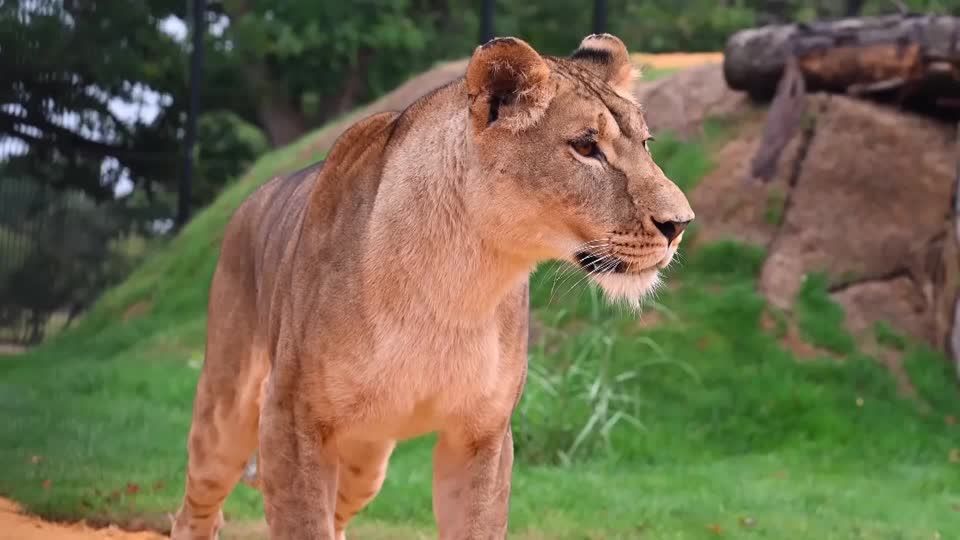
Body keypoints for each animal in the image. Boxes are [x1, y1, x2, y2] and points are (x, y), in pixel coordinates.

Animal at [171, 33, 693, 540]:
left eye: (645, 143)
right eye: (586, 147)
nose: (679, 224)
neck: (458, 281)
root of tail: (249, 199)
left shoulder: (483, 434)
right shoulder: (291, 418)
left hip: (364, 458)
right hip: (226, 422)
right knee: (195, 511)